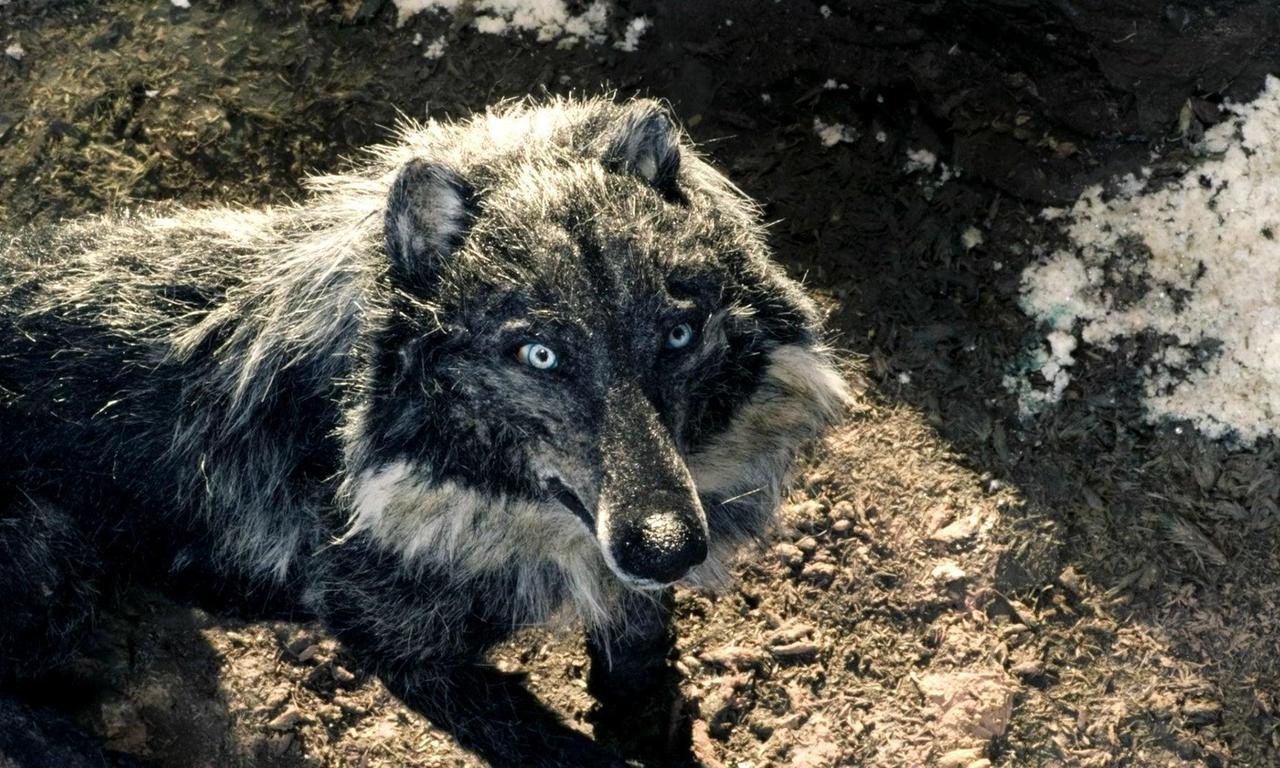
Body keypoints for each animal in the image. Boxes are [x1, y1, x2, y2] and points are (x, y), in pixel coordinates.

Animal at [0, 98, 848, 767]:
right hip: (56, 571)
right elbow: (553, 748)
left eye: (678, 334)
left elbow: (639, 662)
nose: (670, 549)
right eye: (539, 355)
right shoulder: (393, 643)